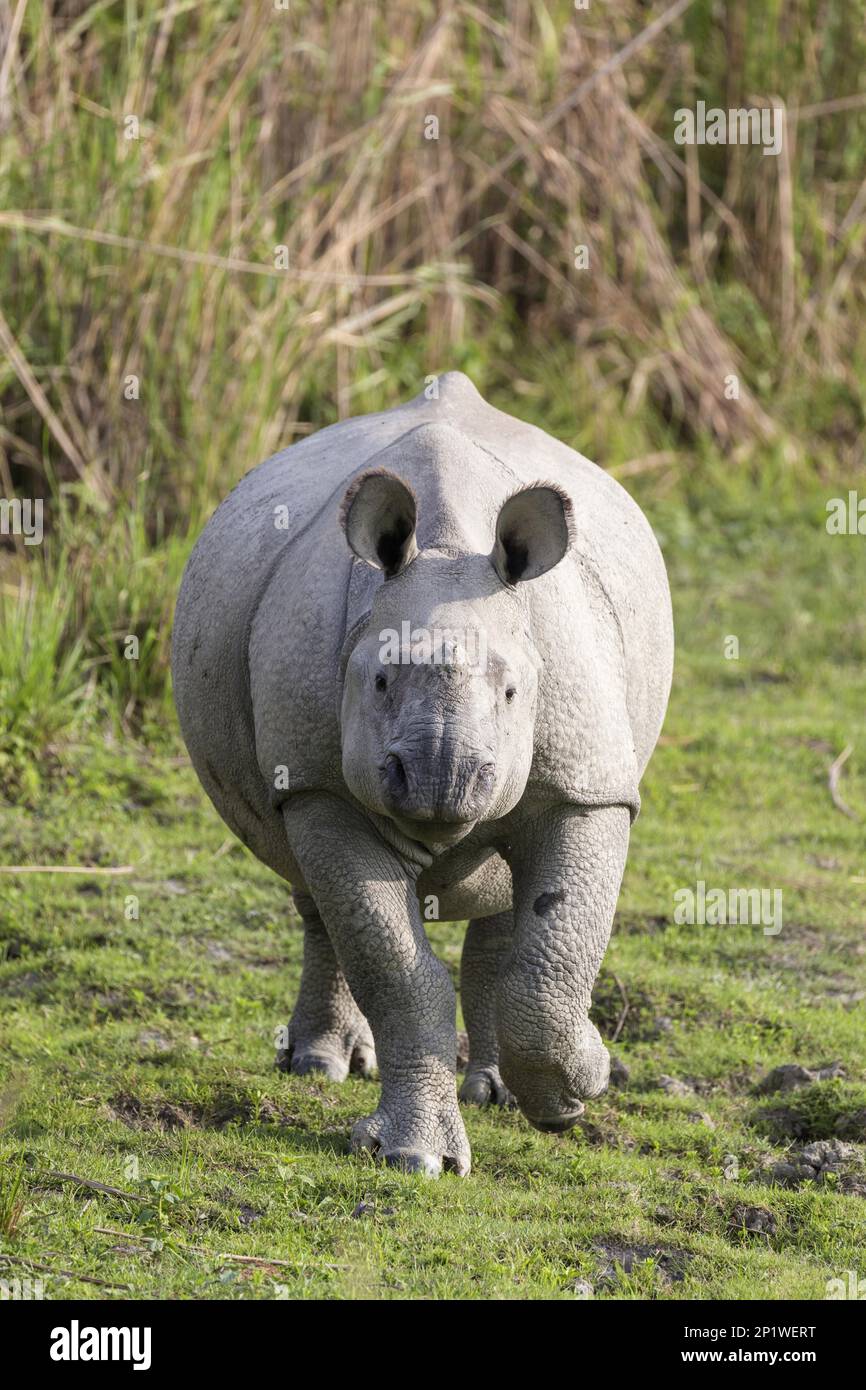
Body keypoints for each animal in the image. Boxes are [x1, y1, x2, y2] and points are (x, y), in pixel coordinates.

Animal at [172, 372, 673, 1176]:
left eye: (513, 693)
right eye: (378, 683)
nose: (444, 778)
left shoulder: (590, 785)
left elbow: (555, 949)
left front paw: (574, 1091)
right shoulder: (317, 782)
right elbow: (393, 965)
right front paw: (416, 1158)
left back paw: (495, 1093)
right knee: (313, 890)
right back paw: (321, 1066)